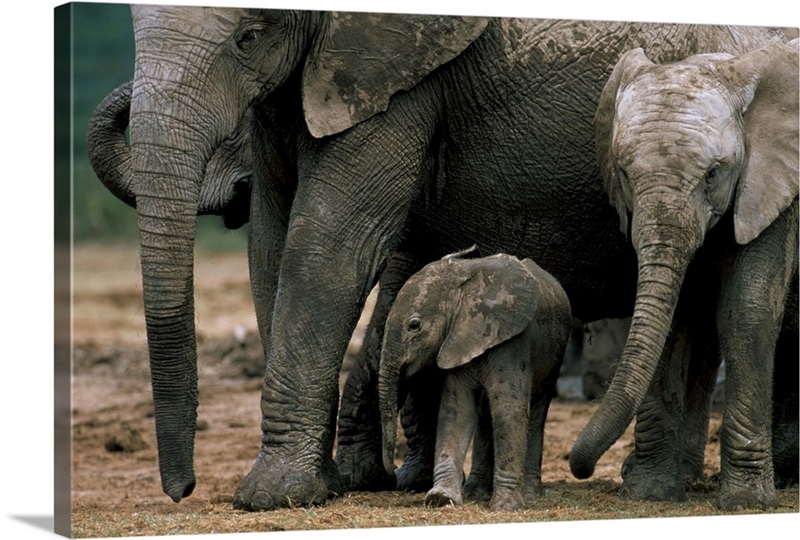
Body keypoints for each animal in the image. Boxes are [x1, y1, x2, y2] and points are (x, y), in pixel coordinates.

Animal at [378, 249, 572, 511]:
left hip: (555, 355)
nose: (391, 473)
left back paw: (530, 495)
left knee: (536, 411)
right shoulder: (457, 340)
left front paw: (505, 507)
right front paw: (440, 498)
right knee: (484, 416)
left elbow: (508, 409)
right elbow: (457, 409)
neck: (464, 281)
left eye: (414, 326)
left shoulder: (513, 341)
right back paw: (475, 492)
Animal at [569, 39, 798, 510]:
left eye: (713, 174)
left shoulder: (776, 184)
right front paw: (650, 492)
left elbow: (747, 311)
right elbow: (676, 315)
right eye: (623, 173)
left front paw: (746, 503)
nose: (578, 468)